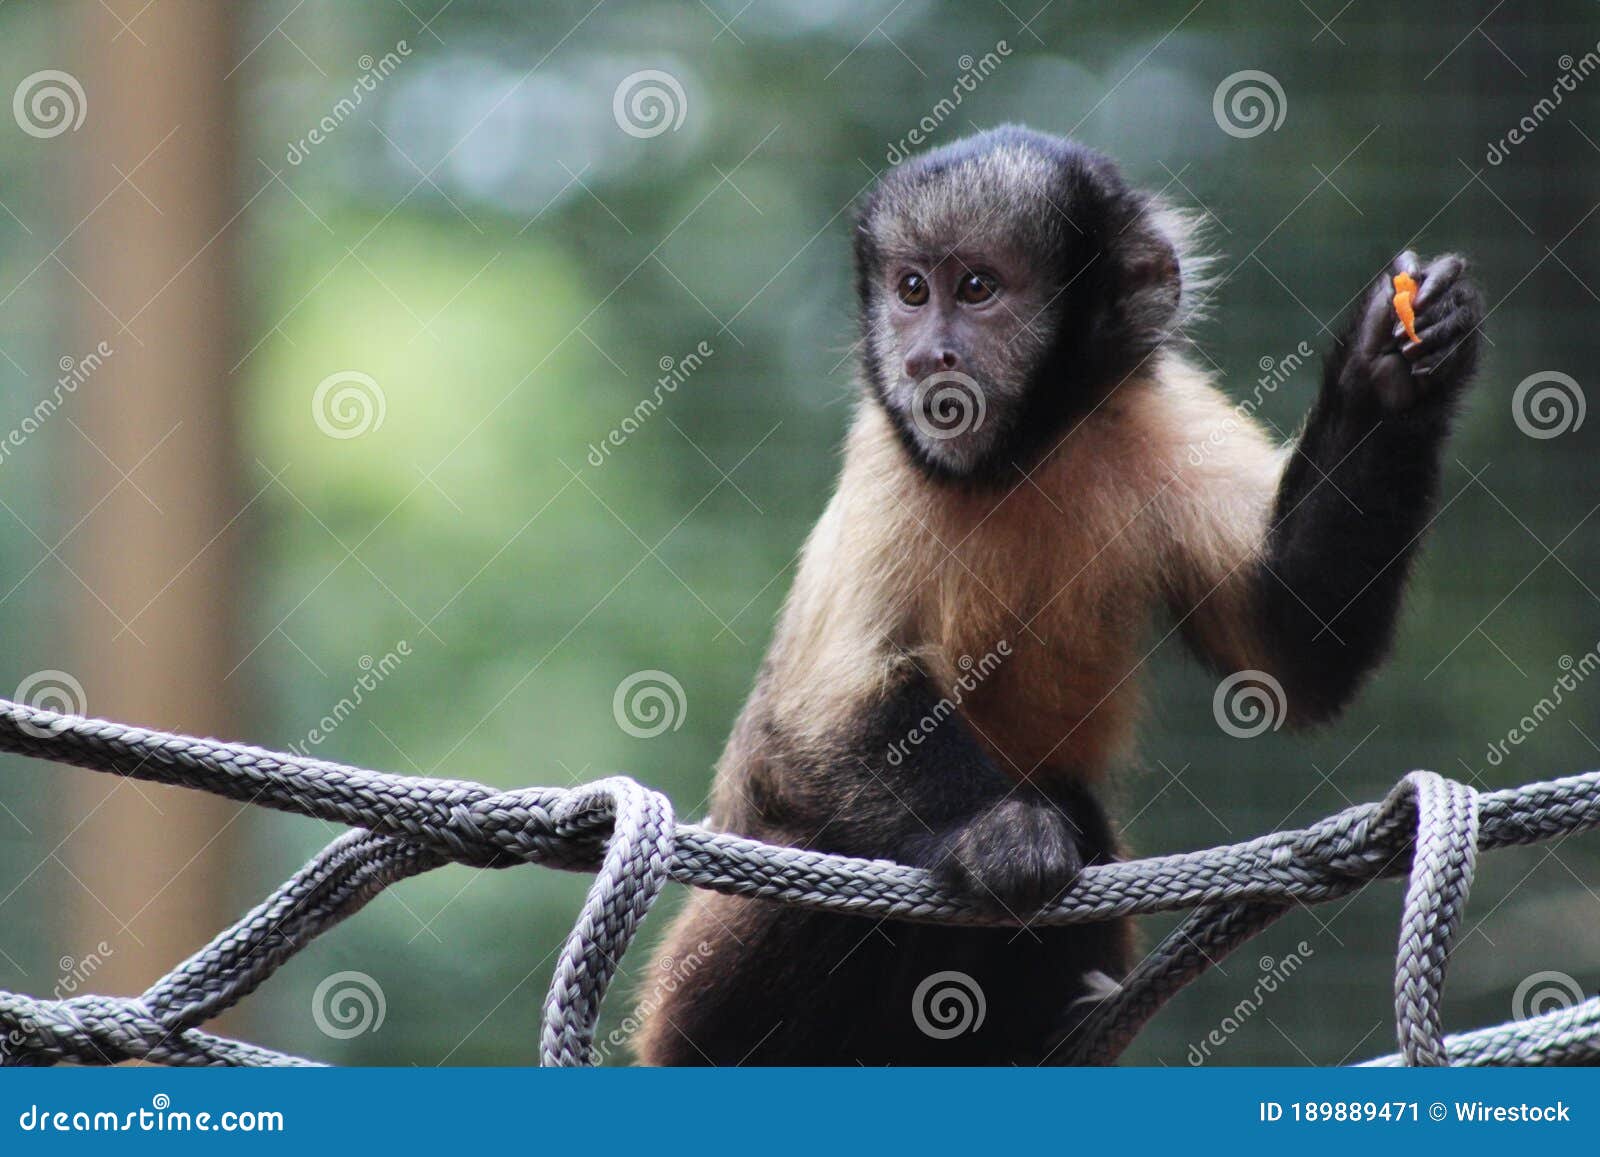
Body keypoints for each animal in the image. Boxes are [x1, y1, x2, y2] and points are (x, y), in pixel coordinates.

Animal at [634, 126, 1483, 1065]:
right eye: (911, 290)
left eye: (976, 289)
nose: (926, 356)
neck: (1023, 451)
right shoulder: (892, 463)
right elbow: (812, 719)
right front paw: (995, 834)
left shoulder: (1155, 413)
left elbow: (1289, 652)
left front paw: (1392, 371)